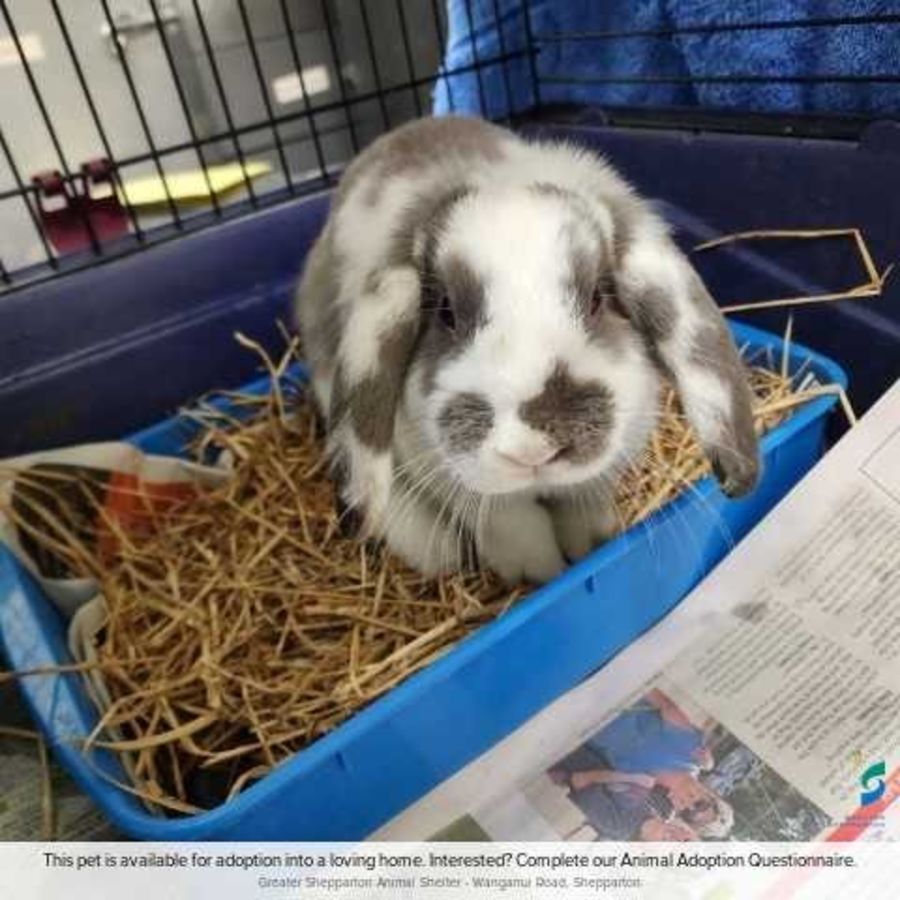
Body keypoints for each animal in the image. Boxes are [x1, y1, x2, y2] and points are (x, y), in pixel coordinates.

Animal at [294, 116, 759, 584]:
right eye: (445, 311)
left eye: (597, 297)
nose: (531, 448)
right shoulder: (443, 469)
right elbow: (512, 523)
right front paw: (541, 573)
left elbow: (583, 503)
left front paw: (593, 544)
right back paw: (436, 553)